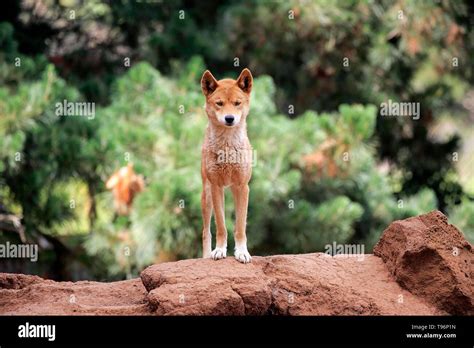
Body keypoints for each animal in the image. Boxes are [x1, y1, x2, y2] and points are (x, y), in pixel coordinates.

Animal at [200, 68, 254, 264]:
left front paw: (242, 253)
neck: (228, 150)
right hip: (207, 196)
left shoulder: (243, 187)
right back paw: (205, 256)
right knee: (205, 231)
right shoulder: (216, 187)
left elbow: (240, 227)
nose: (229, 118)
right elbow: (221, 227)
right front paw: (219, 251)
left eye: (237, 103)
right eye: (219, 103)